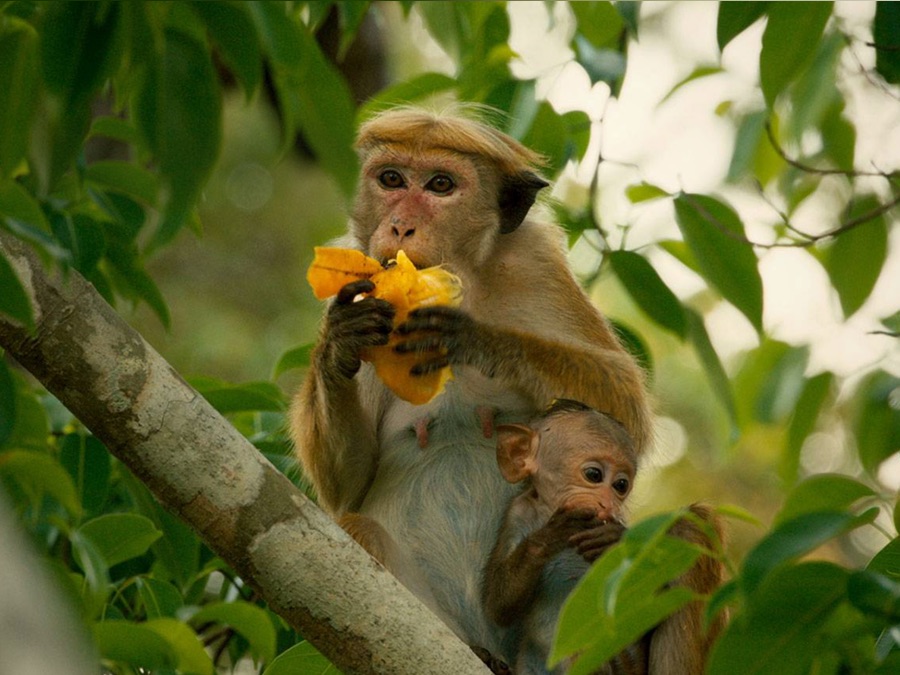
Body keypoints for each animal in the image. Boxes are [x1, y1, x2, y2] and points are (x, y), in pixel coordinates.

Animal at [291, 107, 653, 660]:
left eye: (441, 185)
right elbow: (347, 488)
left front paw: (475, 337)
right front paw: (339, 344)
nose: (400, 225)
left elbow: (626, 406)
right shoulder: (355, 275)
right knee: (358, 525)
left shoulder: (536, 266)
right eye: (391, 179)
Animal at [483, 399, 725, 674]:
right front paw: (554, 532)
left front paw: (613, 539)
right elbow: (499, 605)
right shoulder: (517, 513)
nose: (608, 504)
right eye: (594, 475)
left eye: (621, 485)